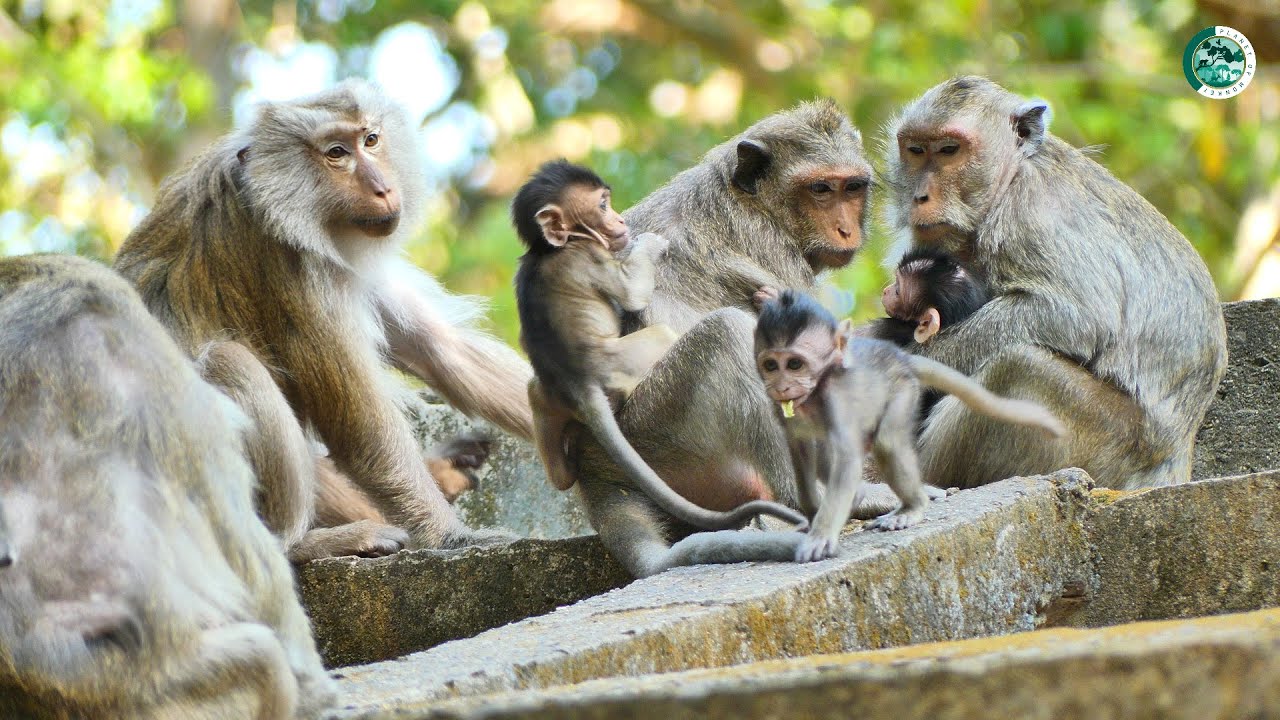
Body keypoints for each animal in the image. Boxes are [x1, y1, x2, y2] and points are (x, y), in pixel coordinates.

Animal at [114, 79, 532, 558]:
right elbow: (359, 426)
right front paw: (453, 537)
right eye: (336, 153)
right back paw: (302, 543)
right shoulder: (293, 265)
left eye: (371, 139)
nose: (382, 188)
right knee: (229, 362)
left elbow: (443, 351)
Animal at [512, 160, 808, 531]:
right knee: (702, 332)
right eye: (602, 206)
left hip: (555, 394)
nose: (620, 220)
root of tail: (580, 385)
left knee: (536, 394)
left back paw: (560, 471)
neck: (553, 248)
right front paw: (650, 243)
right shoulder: (595, 256)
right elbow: (632, 293)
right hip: (630, 369)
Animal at [556, 100, 885, 577]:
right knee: (726, 334)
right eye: (821, 189)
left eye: (852, 188)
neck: (752, 200)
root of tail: (592, 470)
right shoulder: (774, 250)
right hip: (657, 431)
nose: (846, 230)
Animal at [754, 290, 1066, 562]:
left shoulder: (838, 401)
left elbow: (847, 459)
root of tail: (900, 359)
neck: (815, 393)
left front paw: (821, 534)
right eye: (770, 365)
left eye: (795, 364)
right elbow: (801, 455)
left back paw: (911, 506)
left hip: (902, 392)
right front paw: (812, 515)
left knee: (887, 444)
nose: (781, 387)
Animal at [883, 76, 1227, 491]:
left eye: (949, 150)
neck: (1012, 176)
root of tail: (1175, 458)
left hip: (1106, 441)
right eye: (916, 150)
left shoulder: (1033, 213)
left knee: (1020, 366)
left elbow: (1077, 316)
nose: (920, 196)